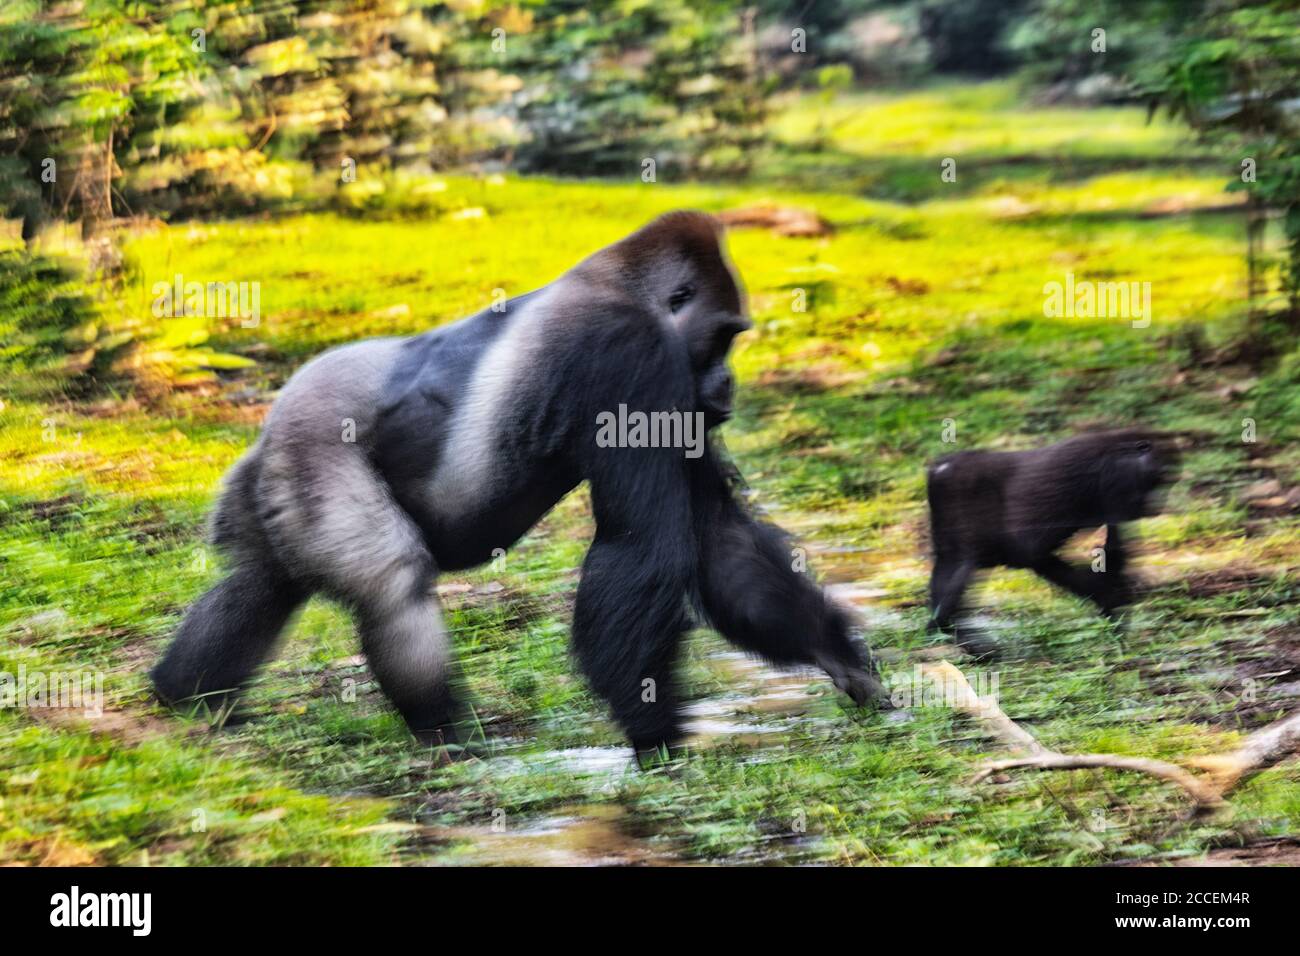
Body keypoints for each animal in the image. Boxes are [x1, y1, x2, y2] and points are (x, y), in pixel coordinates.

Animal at [151, 211, 890, 761]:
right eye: (726, 338)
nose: (729, 386)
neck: (626, 284)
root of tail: (269, 429)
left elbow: (721, 544)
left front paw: (836, 655)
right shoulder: (634, 353)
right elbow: (642, 546)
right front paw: (656, 734)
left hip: (274, 481)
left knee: (261, 585)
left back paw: (185, 699)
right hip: (315, 450)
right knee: (394, 584)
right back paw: (446, 732)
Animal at [924, 428, 1178, 657]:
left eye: (1169, 481)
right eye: (1161, 477)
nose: (1161, 503)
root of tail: (941, 468)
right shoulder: (1117, 478)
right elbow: (1031, 550)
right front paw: (1112, 597)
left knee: (953, 563)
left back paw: (947, 628)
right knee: (970, 563)